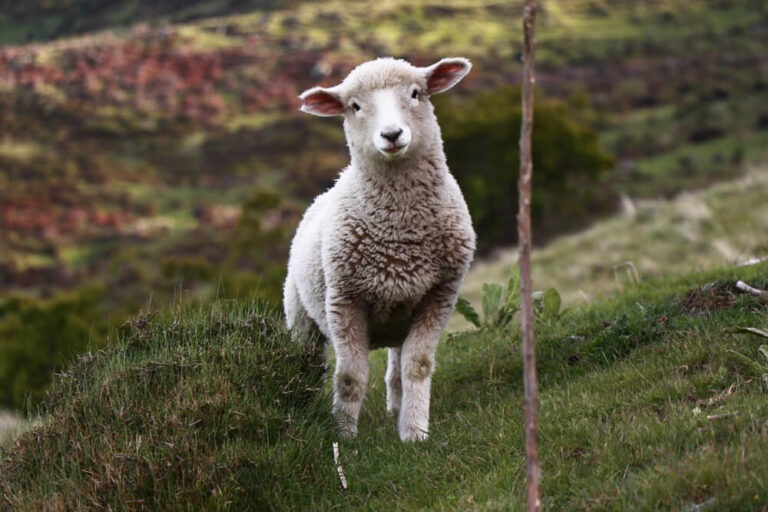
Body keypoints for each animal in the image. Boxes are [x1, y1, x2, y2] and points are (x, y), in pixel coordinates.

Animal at [283, 57, 475, 441]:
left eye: (416, 93)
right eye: (354, 106)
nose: (392, 135)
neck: (400, 231)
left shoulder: (438, 295)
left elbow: (417, 366)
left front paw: (415, 432)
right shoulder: (344, 301)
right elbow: (349, 377)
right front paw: (344, 435)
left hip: (400, 314)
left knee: (396, 369)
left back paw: (396, 410)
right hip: (301, 319)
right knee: (306, 366)